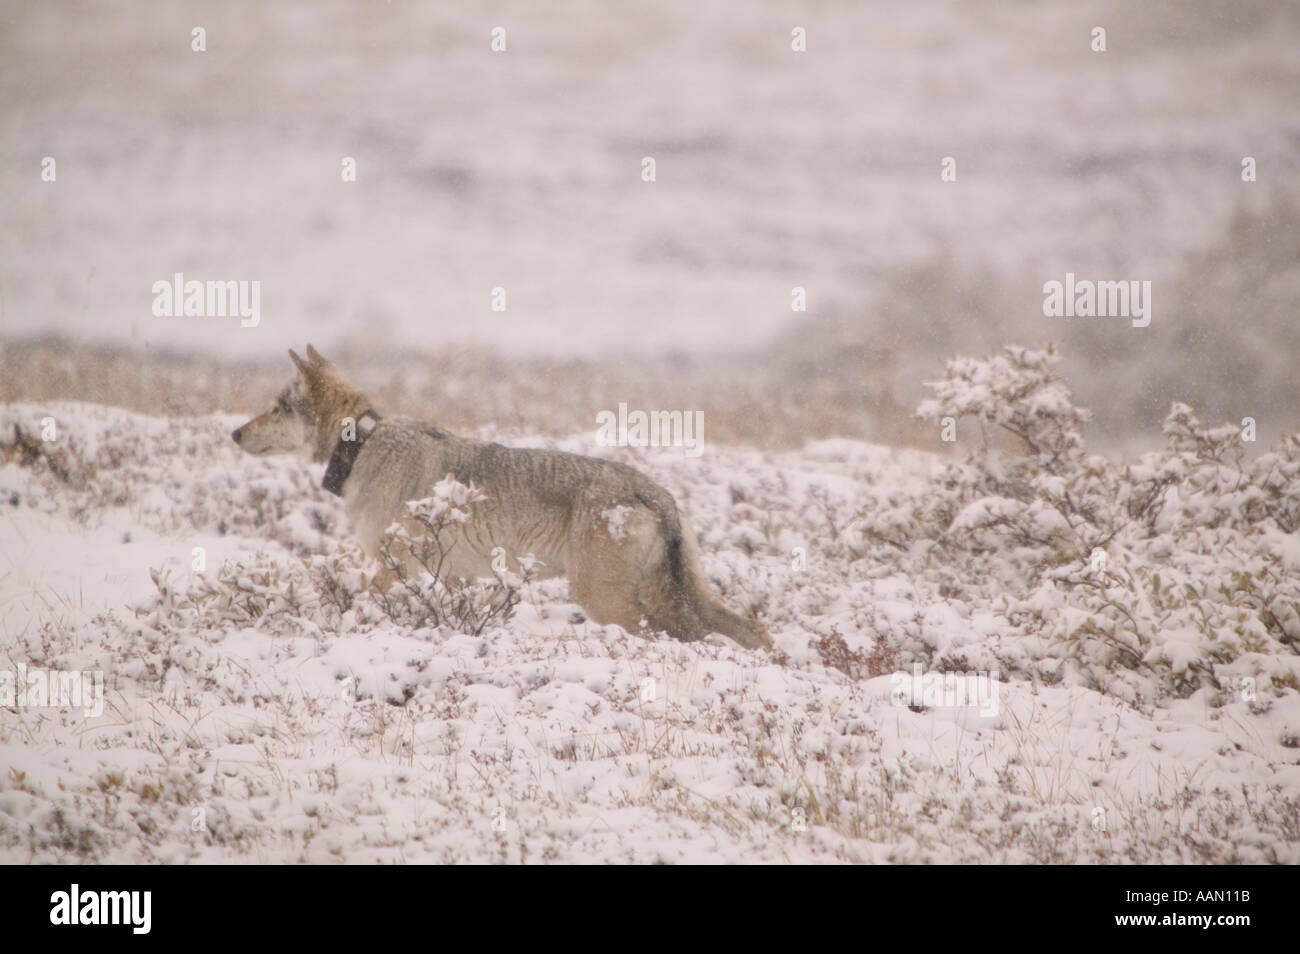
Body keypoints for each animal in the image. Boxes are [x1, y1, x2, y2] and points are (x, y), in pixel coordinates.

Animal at [231, 346, 771, 650]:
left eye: (277, 408)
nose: (235, 433)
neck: (362, 444)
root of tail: (657, 495)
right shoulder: (438, 577)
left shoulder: (388, 571)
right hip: (678, 595)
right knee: (749, 631)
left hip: (607, 602)